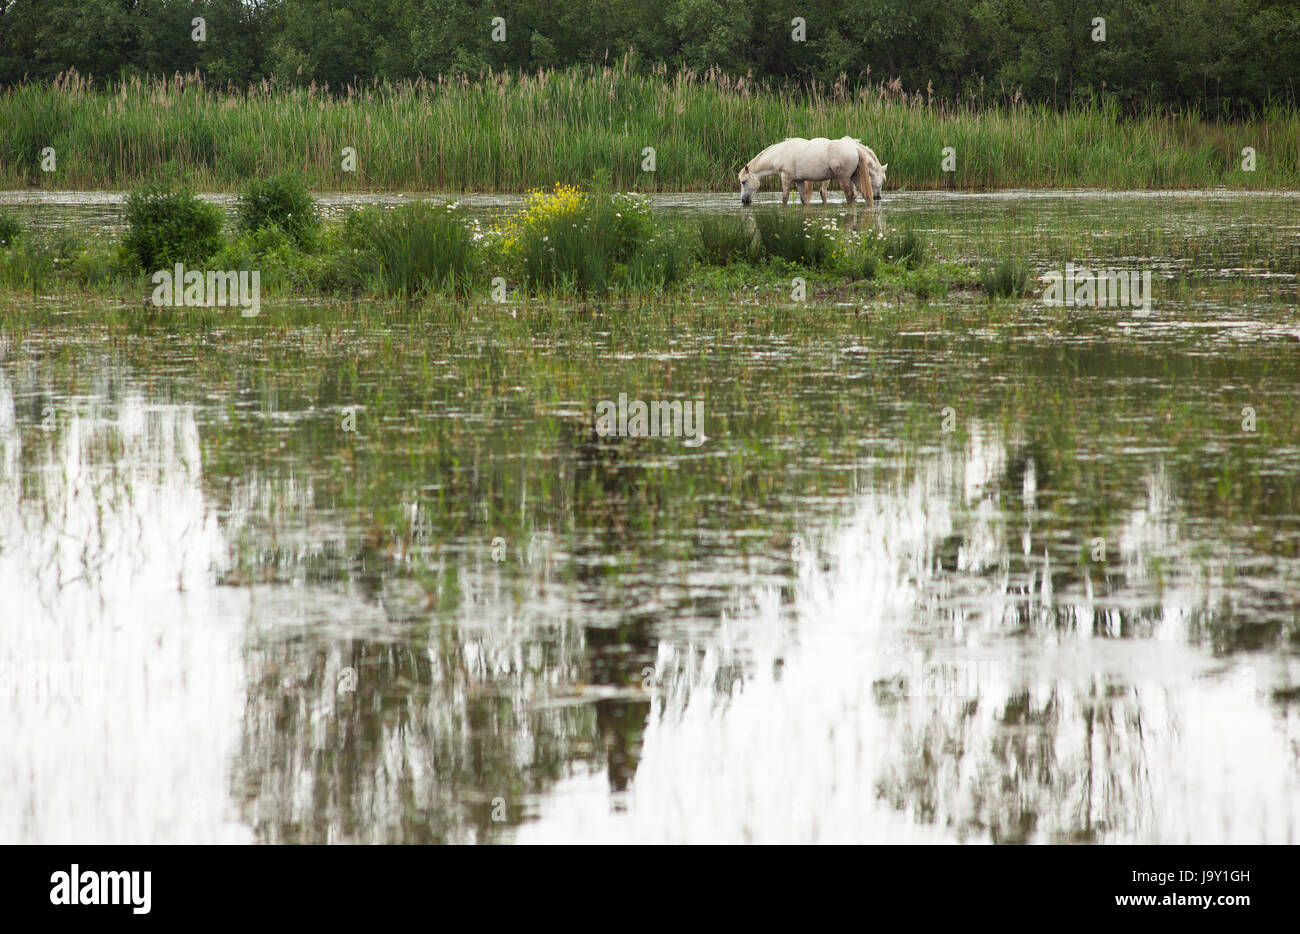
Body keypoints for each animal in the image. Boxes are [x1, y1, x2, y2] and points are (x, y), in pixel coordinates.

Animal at [738, 137, 871, 206]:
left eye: (743, 182)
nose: (744, 200)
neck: (781, 153)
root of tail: (856, 149)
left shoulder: (786, 178)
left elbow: (785, 198)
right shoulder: (799, 180)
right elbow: (804, 199)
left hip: (844, 178)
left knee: (850, 195)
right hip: (855, 178)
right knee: (865, 195)